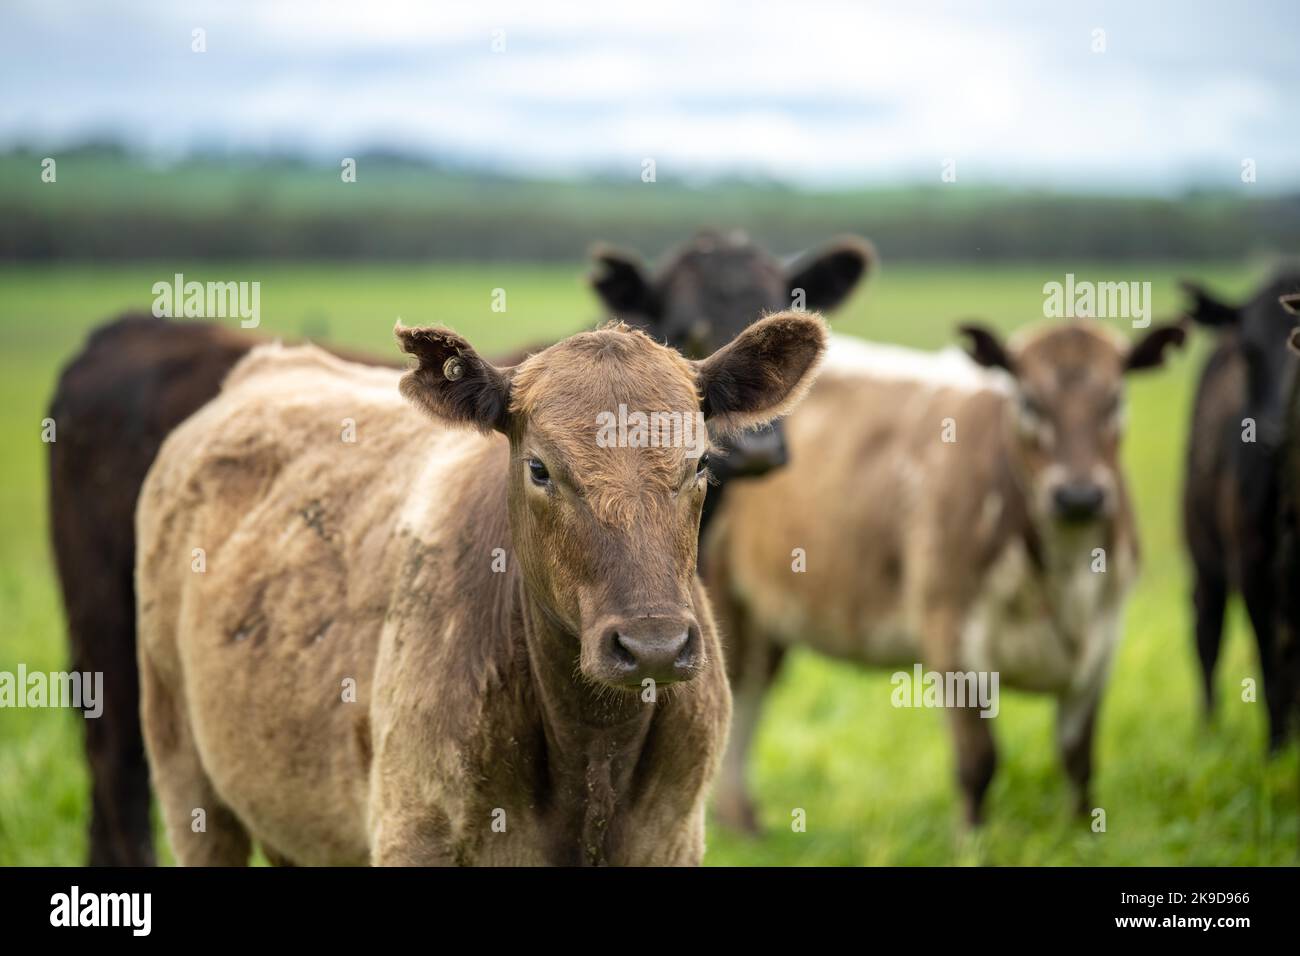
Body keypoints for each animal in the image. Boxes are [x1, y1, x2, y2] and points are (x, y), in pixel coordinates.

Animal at [48, 231, 870, 865]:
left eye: (700, 460)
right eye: (539, 467)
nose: (655, 646)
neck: (590, 753)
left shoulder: (672, 838)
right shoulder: (412, 828)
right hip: (171, 750)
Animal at [702, 319, 1184, 830]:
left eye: (1115, 397)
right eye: (1028, 399)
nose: (1079, 495)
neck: (1065, 577)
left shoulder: (1102, 642)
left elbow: (1079, 760)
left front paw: (1081, 836)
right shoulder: (951, 633)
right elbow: (978, 761)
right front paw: (973, 842)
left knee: (751, 692)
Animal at [1180, 271, 1300, 748]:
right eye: (1250, 352)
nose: (1272, 431)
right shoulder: (1251, 562)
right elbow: (1270, 664)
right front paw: (1275, 752)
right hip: (1203, 552)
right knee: (1207, 632)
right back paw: (1209, 733)